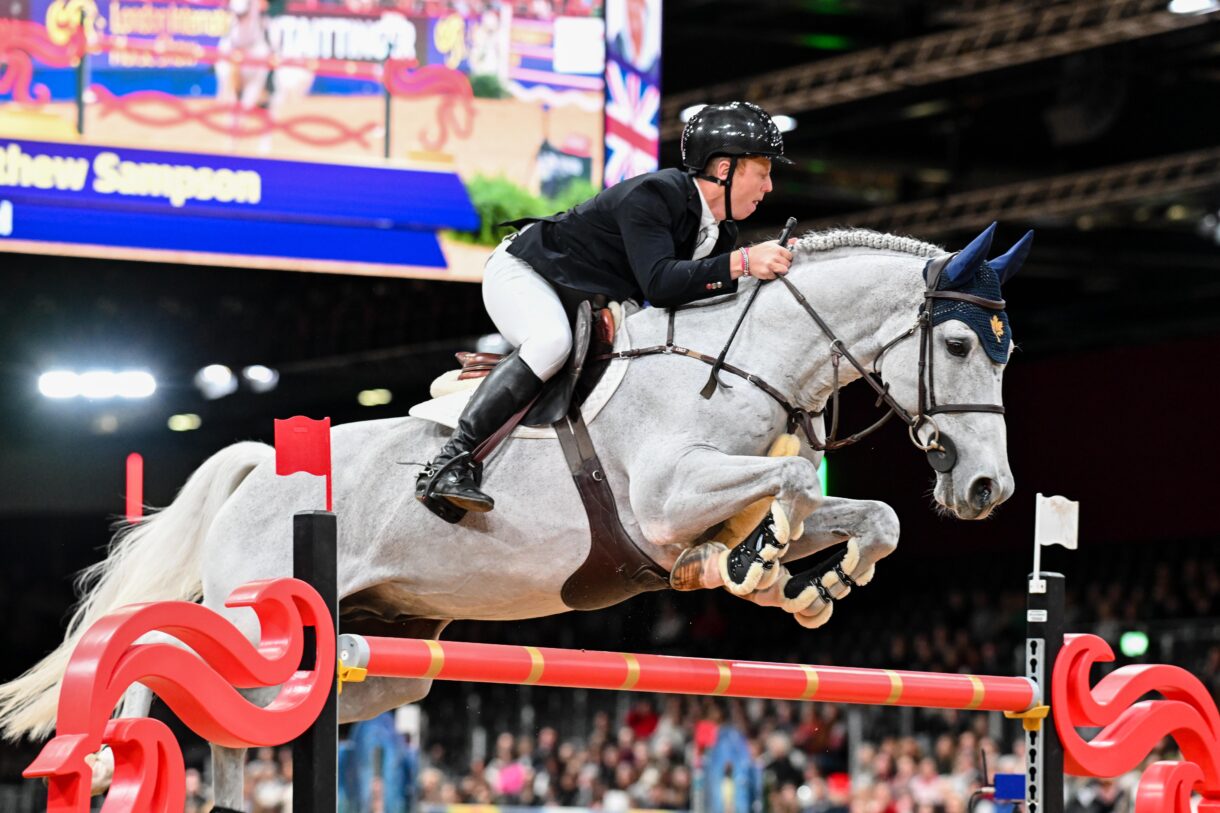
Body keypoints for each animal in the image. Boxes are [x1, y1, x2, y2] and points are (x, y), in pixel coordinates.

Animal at [0, 224, 1030, 809]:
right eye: (959, 343)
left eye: (1007, 352)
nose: (988, 489)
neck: (744, 358)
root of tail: (261, 466)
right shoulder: (667, 496)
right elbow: (787, 491)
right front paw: (757, 565)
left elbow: (864, 513)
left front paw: (804, 581)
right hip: (258, 617)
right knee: (160, 654)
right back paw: (107, 761)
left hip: (384, 660)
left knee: (239, 716)